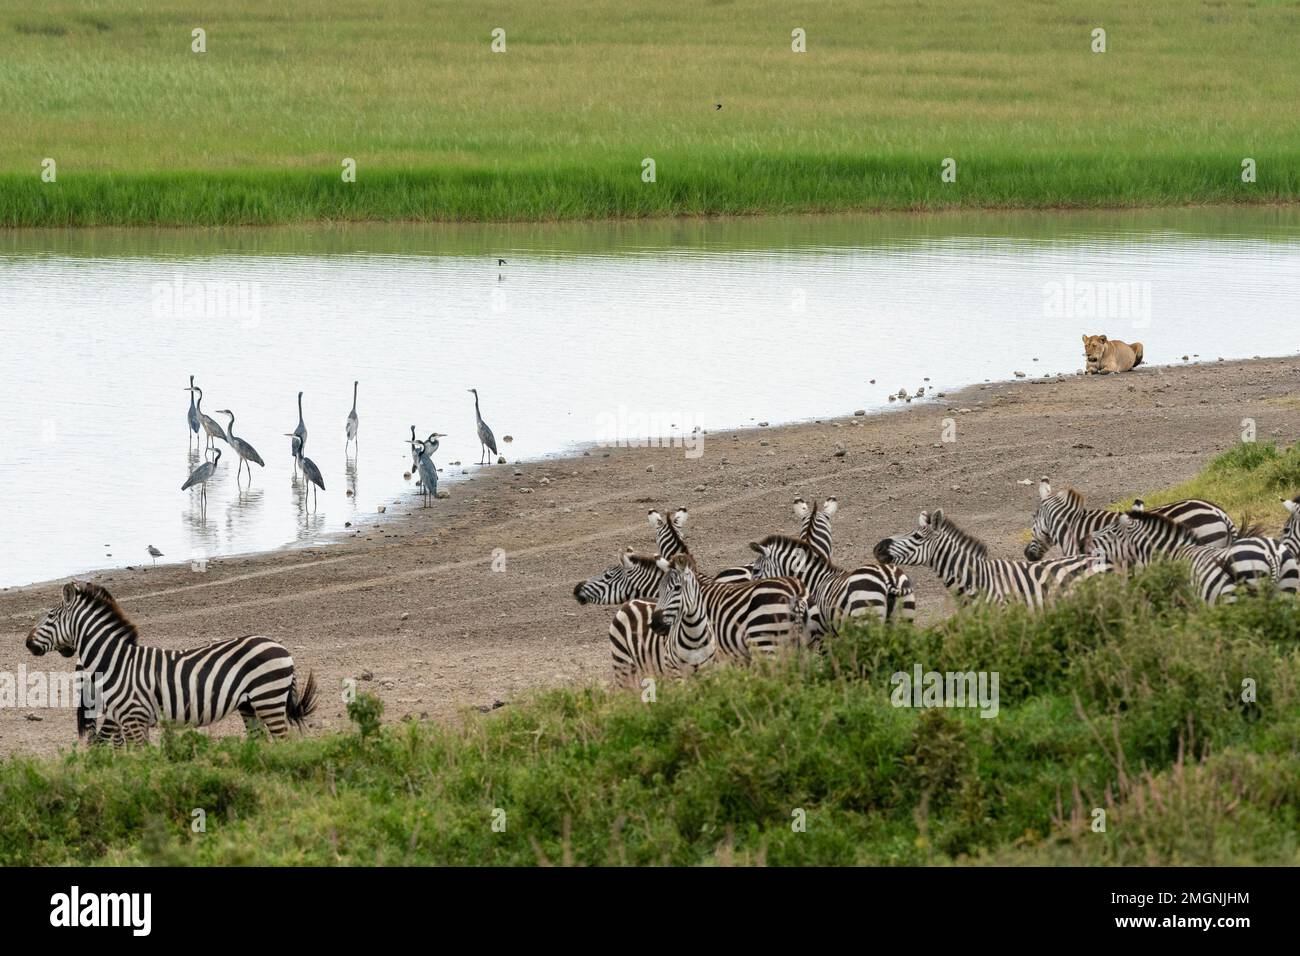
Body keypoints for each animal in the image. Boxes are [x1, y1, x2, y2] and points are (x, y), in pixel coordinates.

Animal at [25, 580, 318, 744]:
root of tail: (281, 646)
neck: (115, 662)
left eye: (49, 616)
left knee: (283, 741)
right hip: (249, 705)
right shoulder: (125, 721)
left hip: (268, 699)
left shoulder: (134, 719)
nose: (27, 643)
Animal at [749, 533, 915, 641]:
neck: (815, 582)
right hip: (903, 622)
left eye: (756, 571)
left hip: (866, 622)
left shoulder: (821, 632)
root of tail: (889, 578)